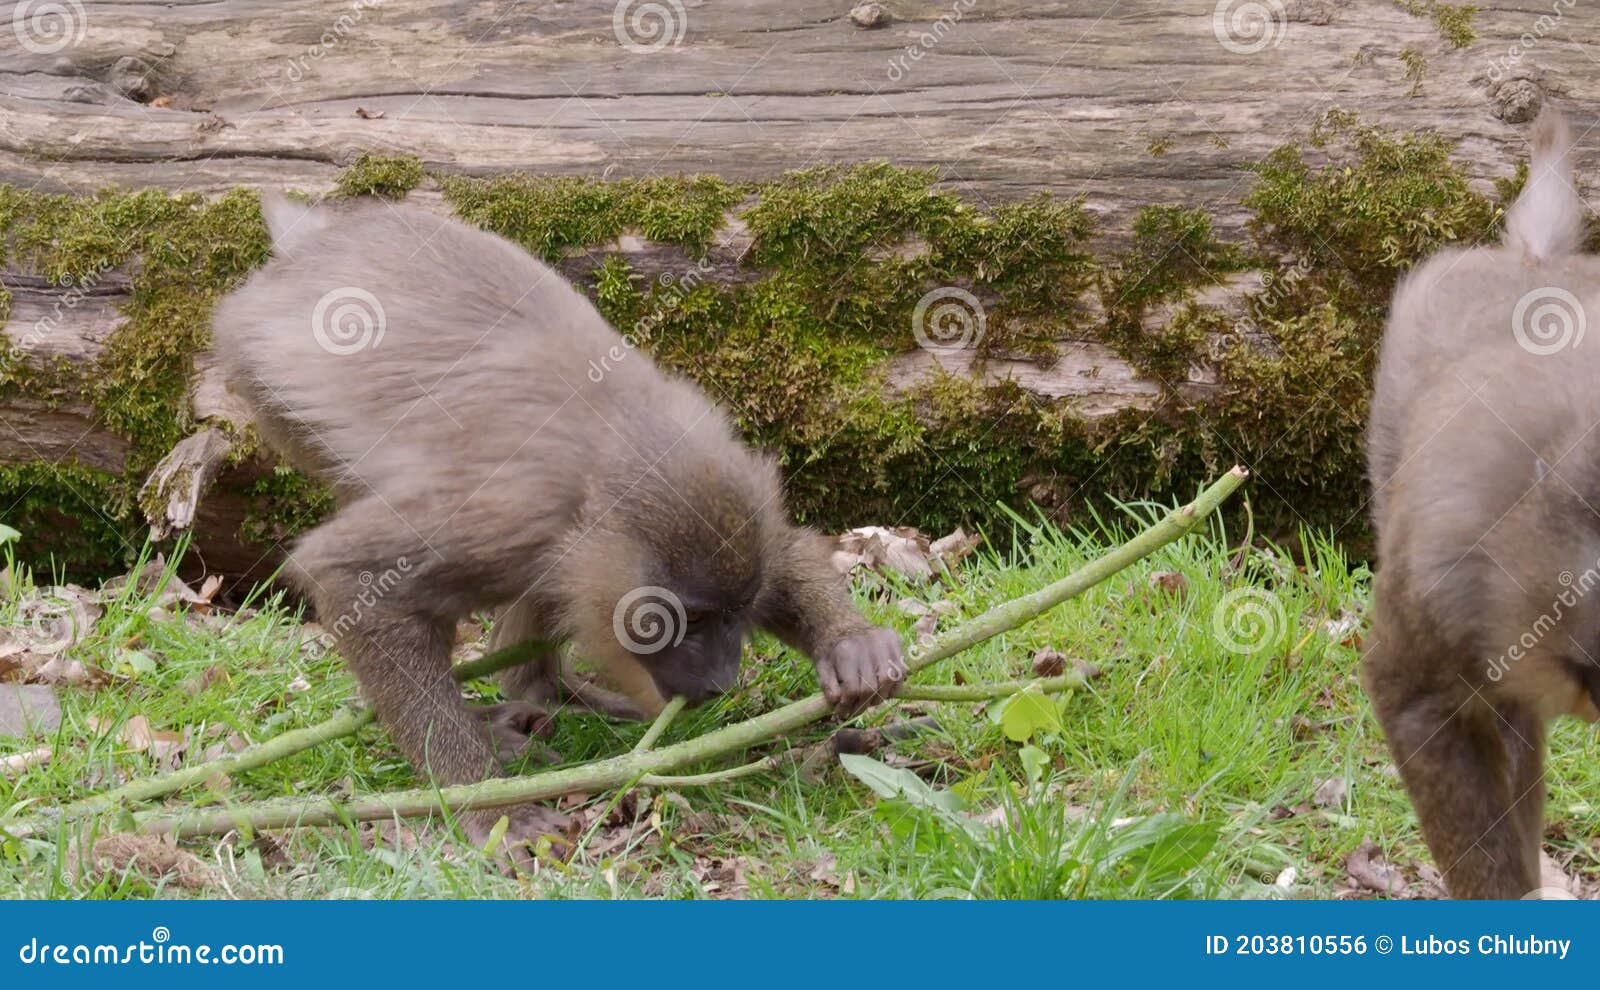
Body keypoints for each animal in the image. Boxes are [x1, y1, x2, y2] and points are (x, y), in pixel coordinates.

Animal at [210, 193, 907, 861]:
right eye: (688, 623)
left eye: (734, 617)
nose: (717, 681)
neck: (611, 456)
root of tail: (313, 242)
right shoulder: (501, 521)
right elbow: (353, 575)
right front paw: (490, 804)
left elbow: (777, 550)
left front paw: (850, 646)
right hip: (263, 383)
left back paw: (544, 691)